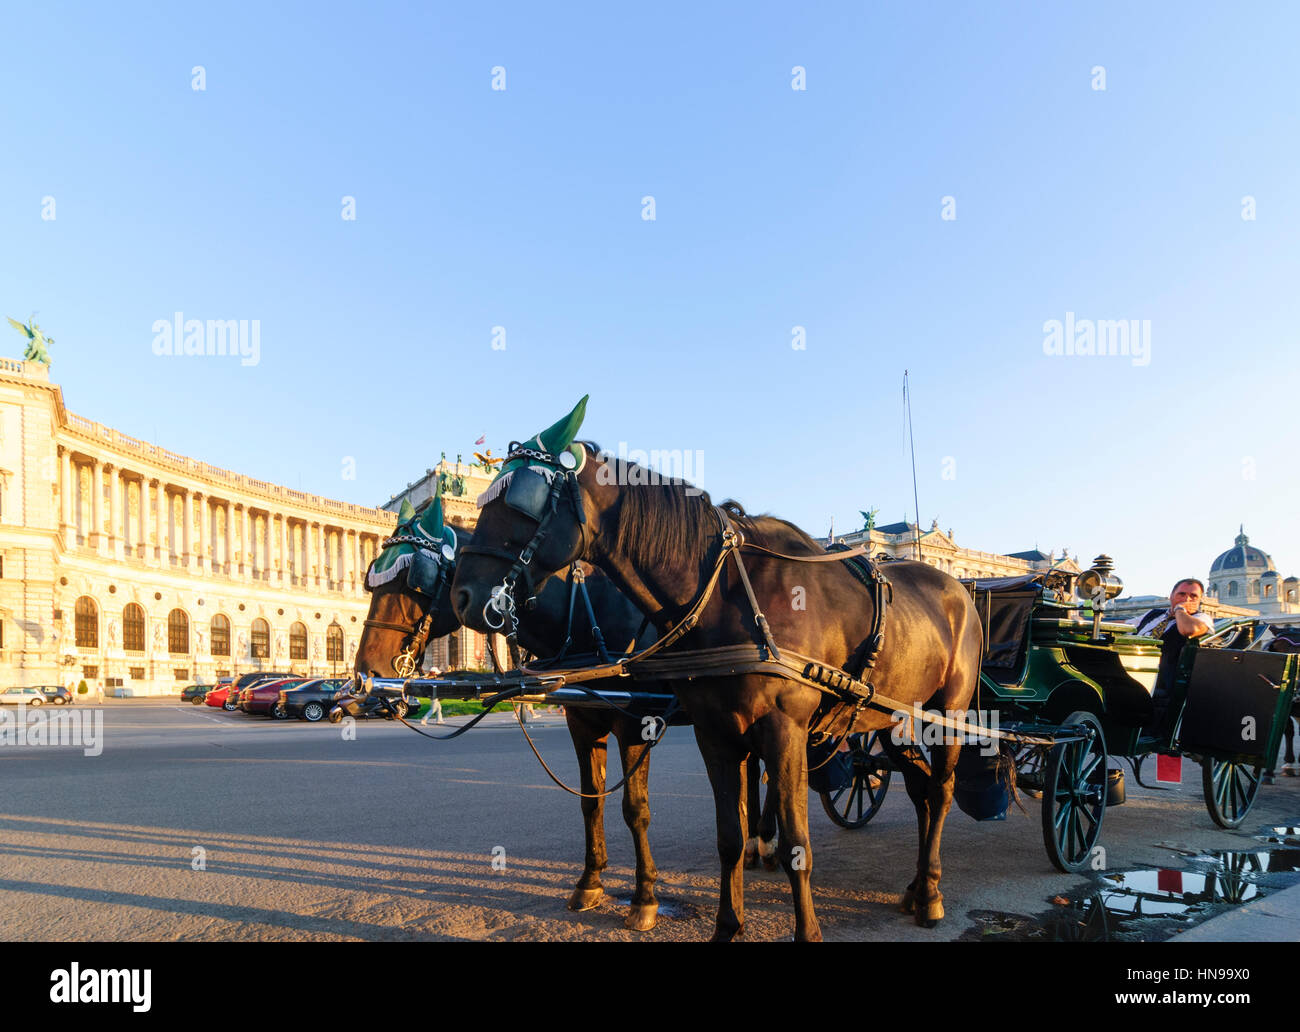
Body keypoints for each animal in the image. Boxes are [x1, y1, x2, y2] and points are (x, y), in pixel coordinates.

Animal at [451, 402, 983, 941]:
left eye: (522, 502)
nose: (463, 595)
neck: (728, 599)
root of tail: (957, 586)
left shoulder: (763, 729)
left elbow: (792, 842)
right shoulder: (707, 732)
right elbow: (720, 832)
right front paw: (725, 924)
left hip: (947, 712)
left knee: (940, 791)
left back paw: (930, 894)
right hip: (892, 717)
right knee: (918, 788)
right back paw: (915, 886)